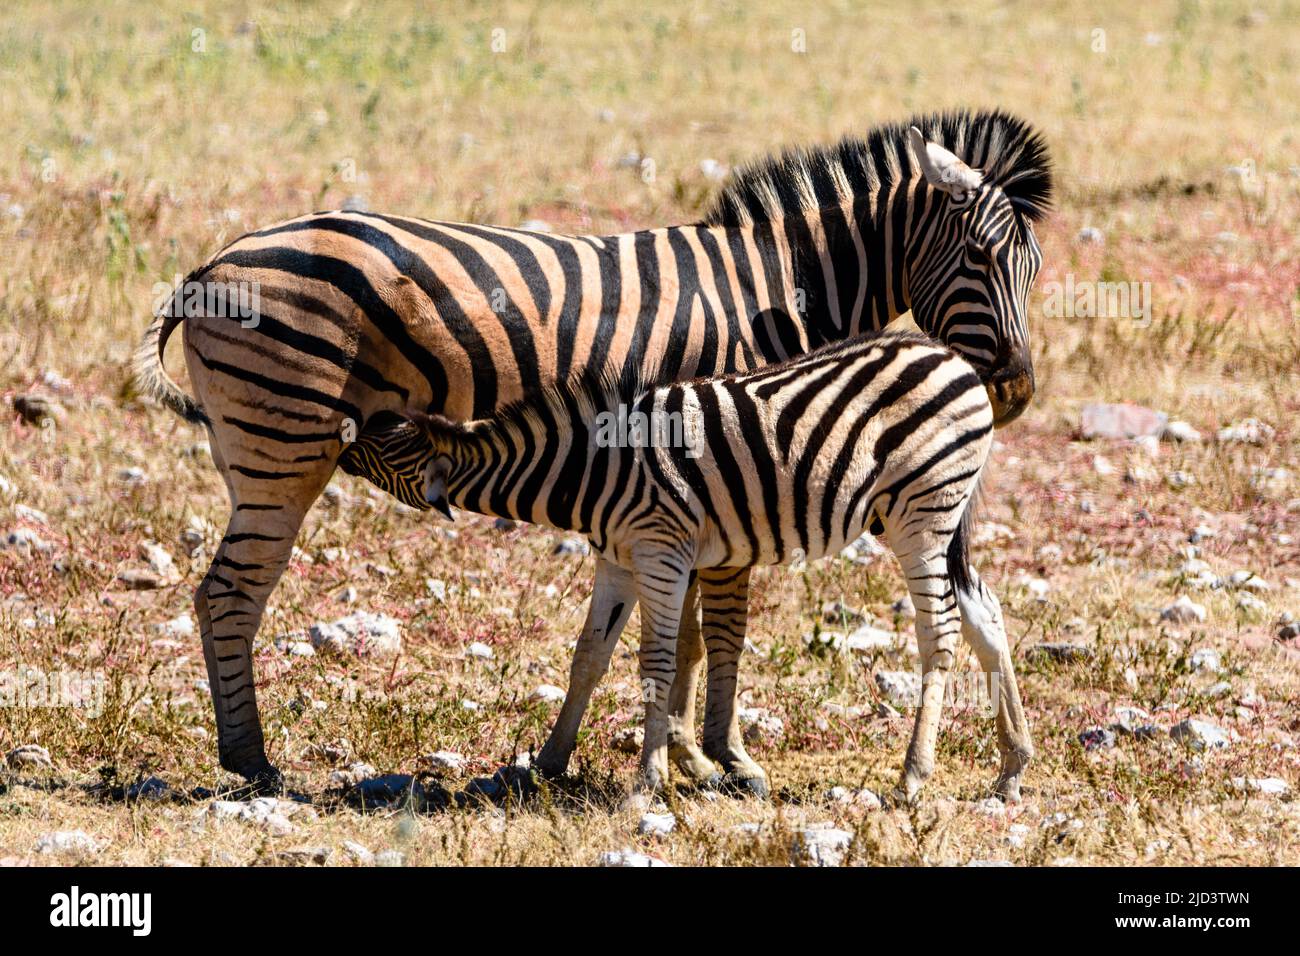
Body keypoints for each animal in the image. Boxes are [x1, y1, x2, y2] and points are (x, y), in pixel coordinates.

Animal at [404, 329, 1032, 801]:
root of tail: (954, 359)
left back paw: (912, 778)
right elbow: (590, 656)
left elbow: (656, 663)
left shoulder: (659, 550)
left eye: (386, 451)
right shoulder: (617, 560)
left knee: (940, 629)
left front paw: (647, 782)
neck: (593, 470)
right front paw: (548, 763)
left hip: (921, 511)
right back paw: (1011, 769)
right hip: (936, 515)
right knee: (984, 613)